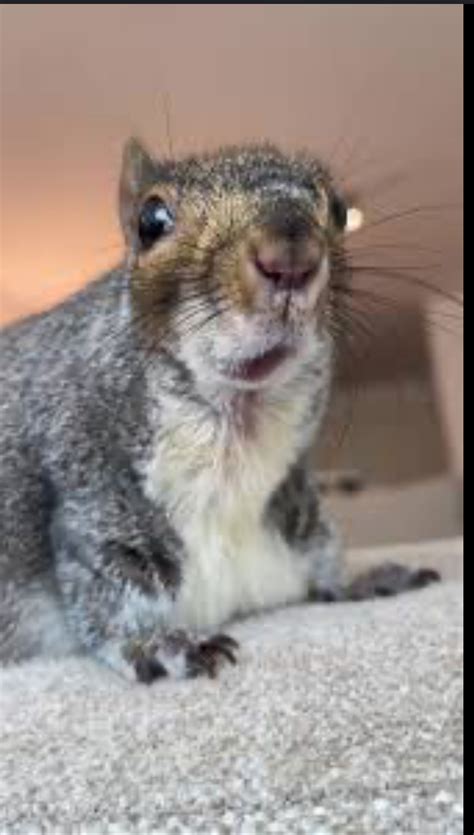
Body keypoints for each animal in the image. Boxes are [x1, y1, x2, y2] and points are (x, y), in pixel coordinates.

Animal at [0, 140, 440, 683]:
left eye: (339, 209)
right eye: (151, 220)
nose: (291, 254)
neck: (236, 430)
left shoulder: (295, 511)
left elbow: (322, 554)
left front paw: (361, 579)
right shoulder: (92, 504)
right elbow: (110, 597)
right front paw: (162, 643)